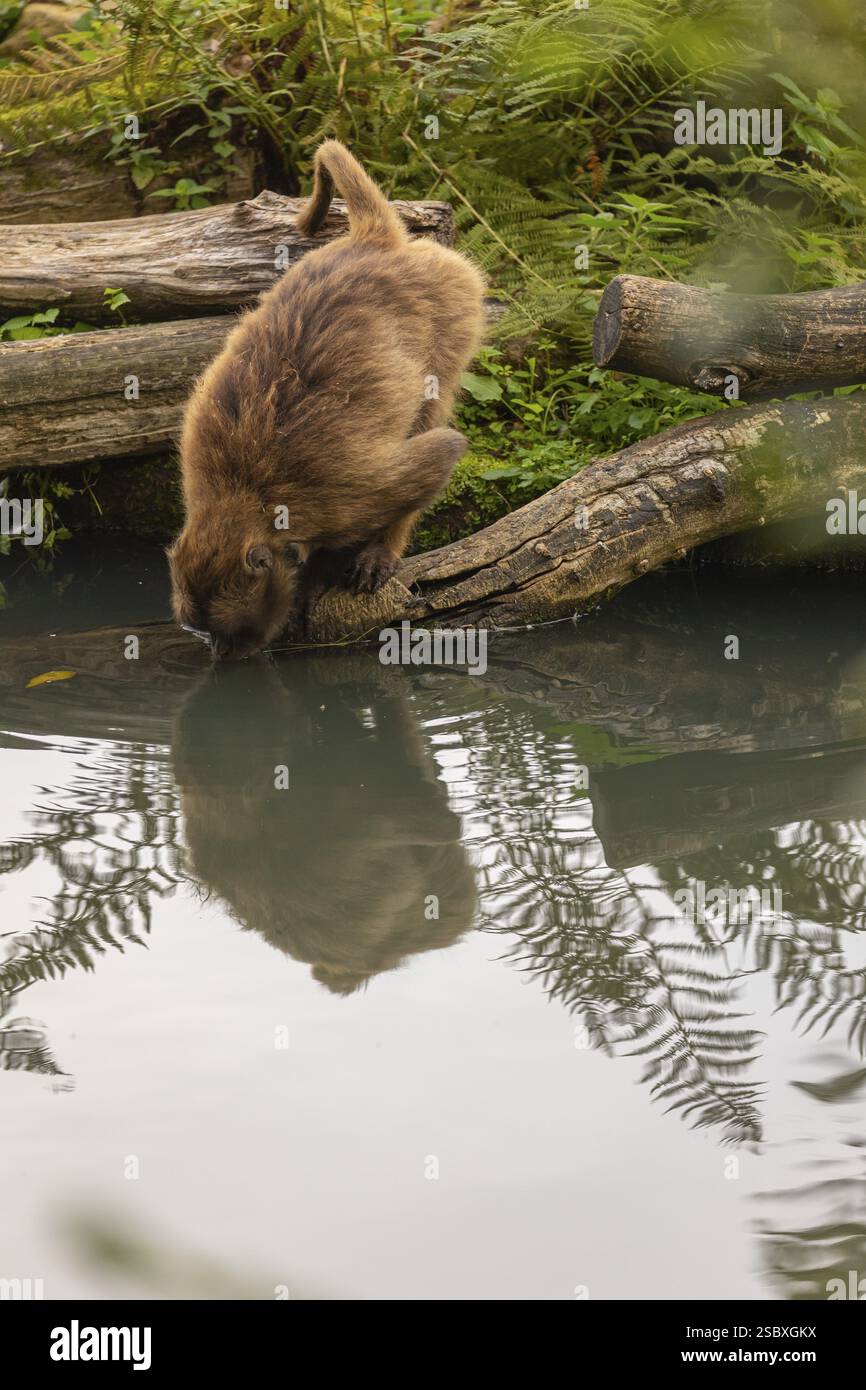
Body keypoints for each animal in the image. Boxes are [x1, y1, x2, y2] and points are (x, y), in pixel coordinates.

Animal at [167, 139, 487, 661]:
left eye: (230, 630)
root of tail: (377, 243)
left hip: (455, 302)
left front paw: (334, 565)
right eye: (204, 631)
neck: (242, 493)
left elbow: (440, 453)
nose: (221, 655)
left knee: (430, 408)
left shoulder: (336, 493)